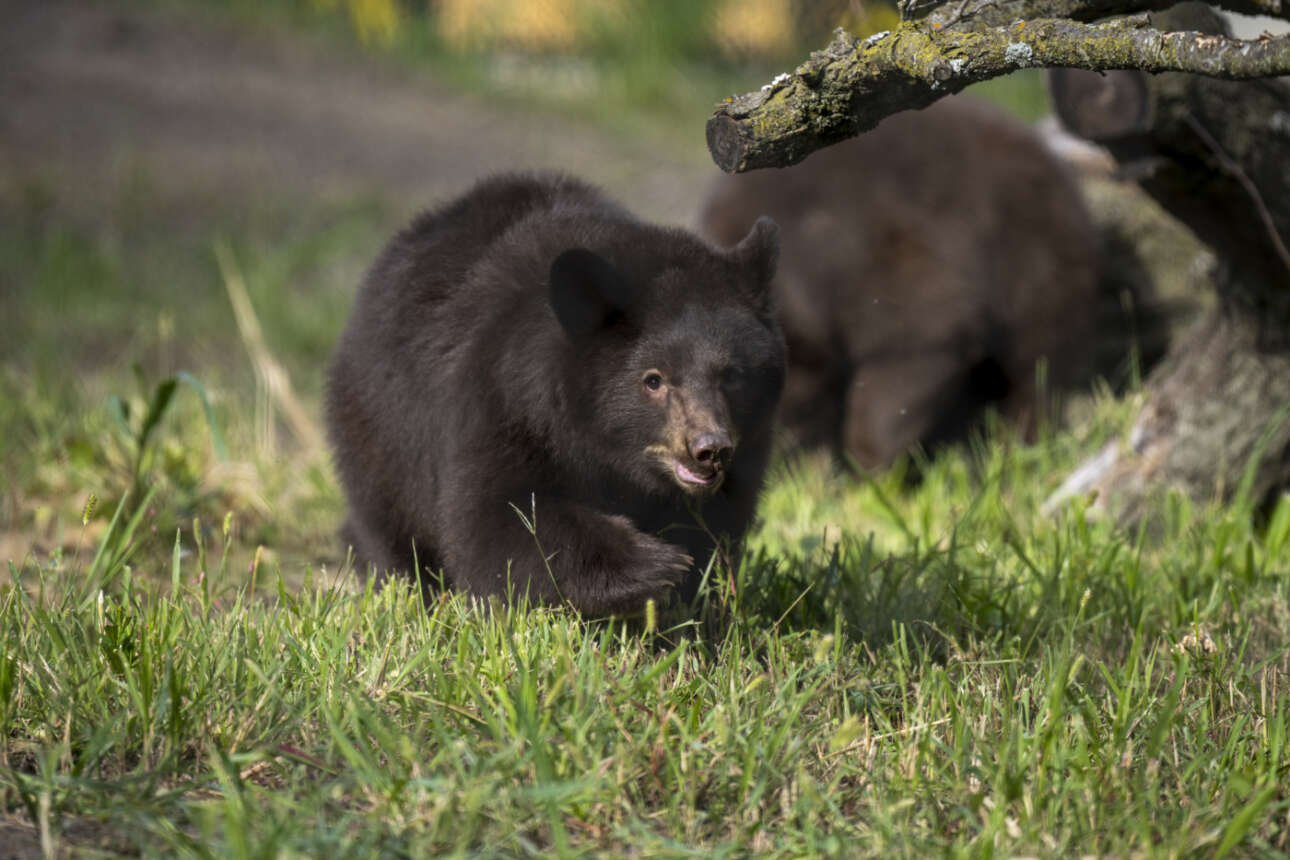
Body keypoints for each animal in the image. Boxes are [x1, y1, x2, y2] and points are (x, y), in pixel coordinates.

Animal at [325, 172, 784, 616]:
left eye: (732, 375)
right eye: (654, 379)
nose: (709, 449)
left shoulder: (746, 456)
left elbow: (715, 528)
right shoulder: (503, 401)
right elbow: (495, 519)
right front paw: (654, 566)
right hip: (382, 432)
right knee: (390, 523)